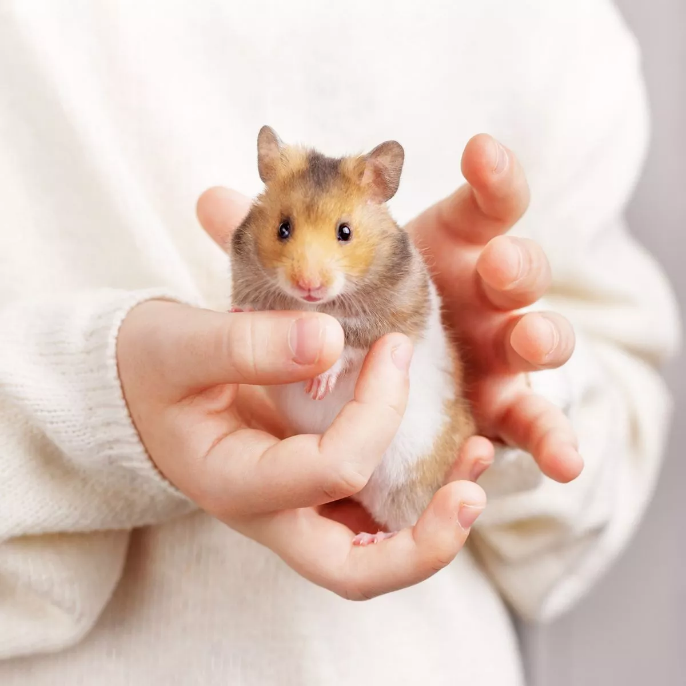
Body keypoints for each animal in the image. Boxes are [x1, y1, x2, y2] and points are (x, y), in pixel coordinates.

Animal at [229, 126, 475, 543]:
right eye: (283, 228)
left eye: (345, 232)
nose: (308, 286)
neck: (316, 305)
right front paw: (234, 314)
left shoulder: (390, 321)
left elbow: (351, 347)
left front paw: (318, 386)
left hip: (408, 477)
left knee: (410, 519)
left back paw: (371, 538)